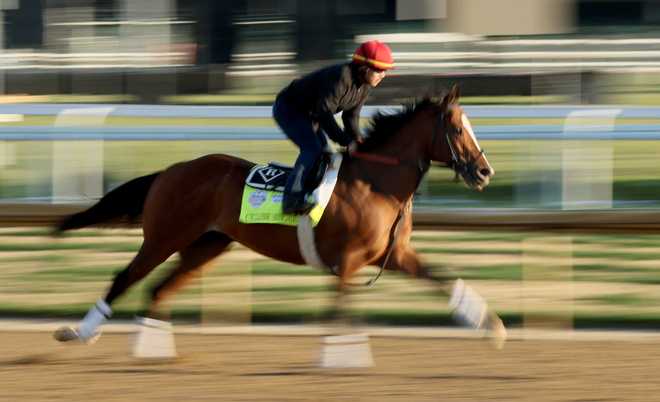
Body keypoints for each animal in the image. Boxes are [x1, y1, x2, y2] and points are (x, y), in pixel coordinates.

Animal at [53, 85, 506, 348]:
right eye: (457, 129)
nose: (485, 172)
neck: (377, 182)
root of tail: (170, 170)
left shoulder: (390, 255)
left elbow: (442, 277)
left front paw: (491, 324)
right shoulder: (348, 260)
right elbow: (339, 309)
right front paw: (340, 356)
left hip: (206, 245)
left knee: (158, 290)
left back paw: (152, 349)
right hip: (164, 237)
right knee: (125, 278)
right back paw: (78, 332)